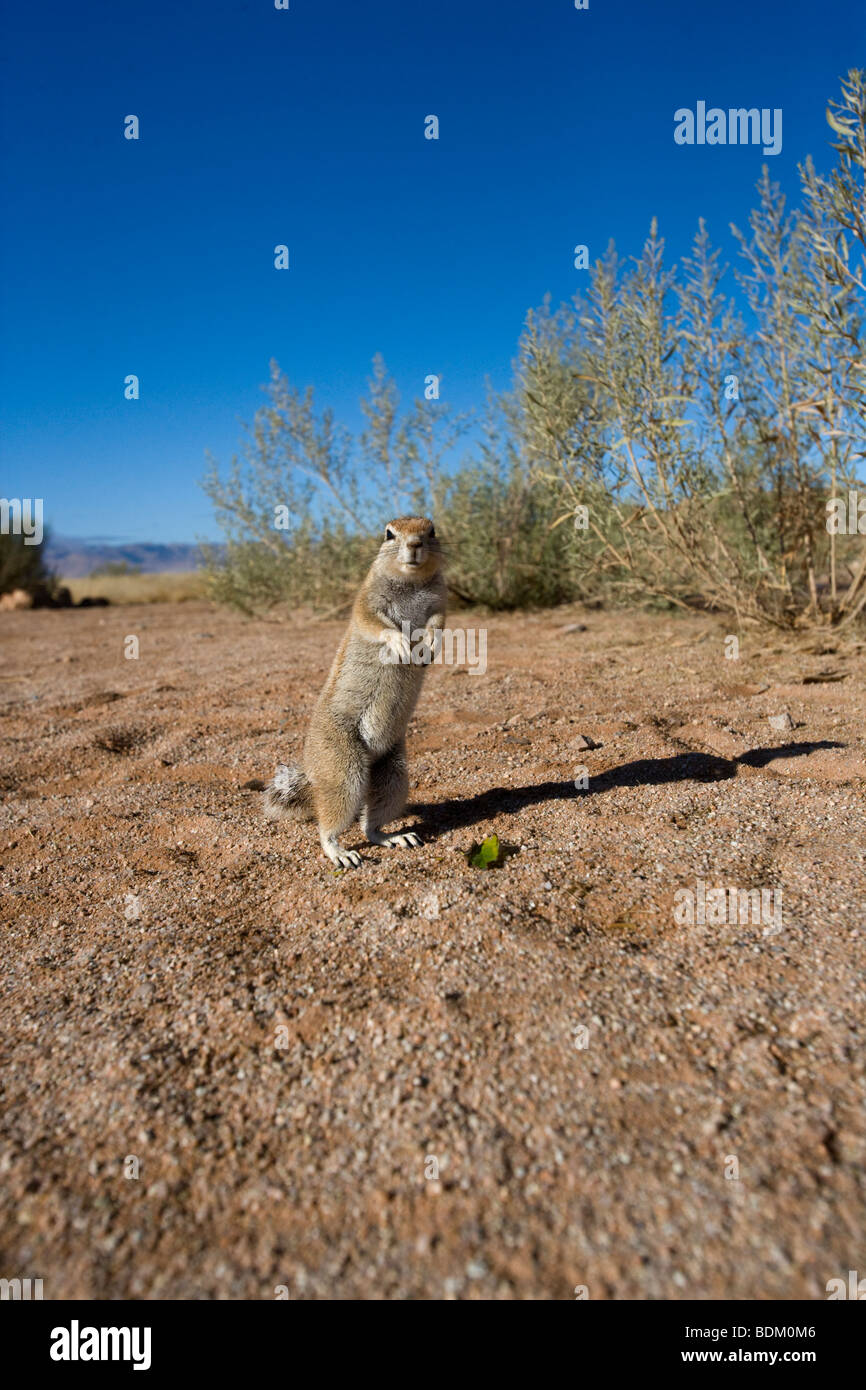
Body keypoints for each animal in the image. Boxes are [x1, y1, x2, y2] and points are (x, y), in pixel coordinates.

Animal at [263, 516, 447, 868]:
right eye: (388, 533)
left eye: (431, 531)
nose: (415, 544)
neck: (411, 583)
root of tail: (314, 776)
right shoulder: (366, 602)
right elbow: (374, 623)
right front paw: (400, 642)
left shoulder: (440, 605)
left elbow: (438, 623)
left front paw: (431, 646)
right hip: (344, 770)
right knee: (329, 825)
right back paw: (339, 852)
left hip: (394, 777)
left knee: (369, 825)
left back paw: (394, 837)